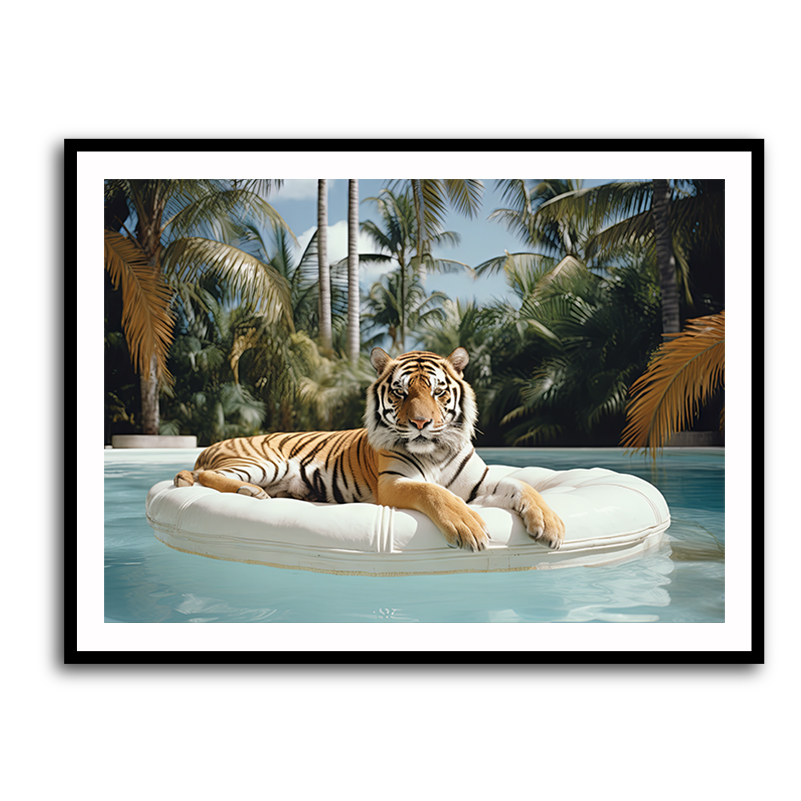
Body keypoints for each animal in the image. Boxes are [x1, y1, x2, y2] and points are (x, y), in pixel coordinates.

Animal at [174, 347, 565, 552]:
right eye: (401, 392)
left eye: (438, 391)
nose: (421, 423)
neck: (435, 452)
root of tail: (214, 444)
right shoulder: (392, 483)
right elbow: (434, 493)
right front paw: (467, 524)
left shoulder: (480, 483)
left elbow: (522, 486)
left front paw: (550, 523)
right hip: (266, 462)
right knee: (202, 474)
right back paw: (249, 491)